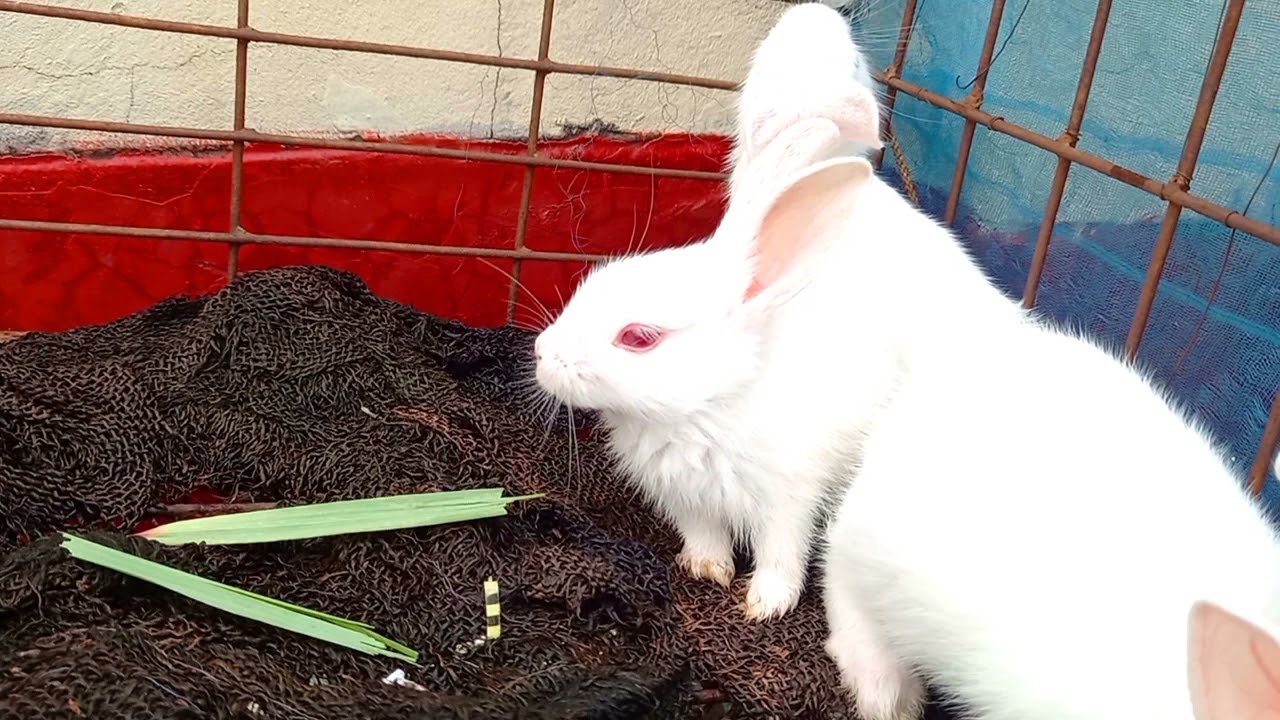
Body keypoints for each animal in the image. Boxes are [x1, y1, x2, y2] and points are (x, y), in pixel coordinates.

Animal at [534, 5, 887, 621]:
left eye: (639, 337)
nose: (541, 354)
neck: (705, 408)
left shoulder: (788, 499)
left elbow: (782, 553)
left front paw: (765, 606)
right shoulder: (687, 503)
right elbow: (705, 538)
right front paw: (707, 571)